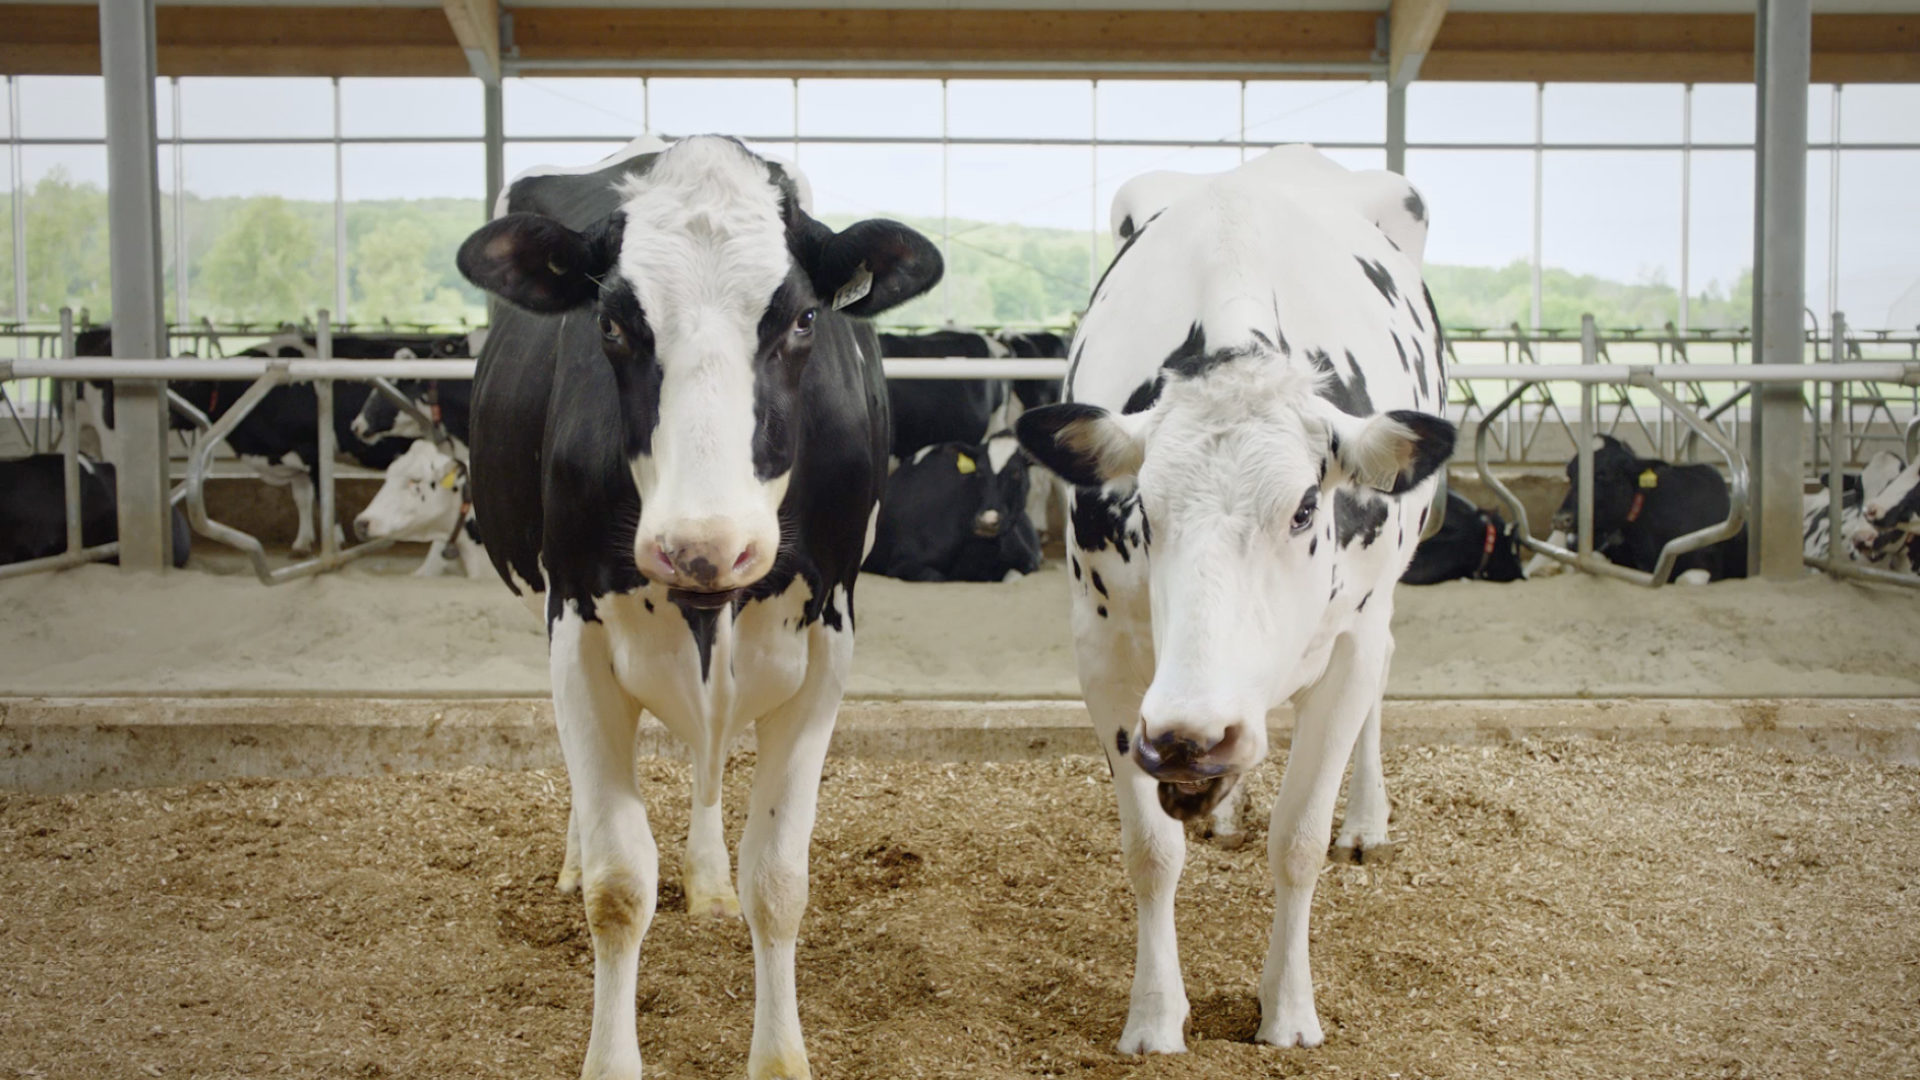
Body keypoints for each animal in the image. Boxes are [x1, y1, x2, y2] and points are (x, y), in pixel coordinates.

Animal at [455, 134, 940, 1080]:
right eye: (612, 322)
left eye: (802, 319)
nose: (703, 545)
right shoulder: (574, 628)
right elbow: (618, 887)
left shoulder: (827, 646)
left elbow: (779, 879)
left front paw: (780, 1058)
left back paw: (709, 877)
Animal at [862, 431, 1043, 582]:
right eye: (979, 472)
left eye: (1017, 473)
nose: (987, 521)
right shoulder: (902, 563)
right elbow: (937, 577)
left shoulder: (1028, 562)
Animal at [1013, 146, 1454, 1054]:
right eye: (1144, 509)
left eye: (1306, 508)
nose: (1192, 739)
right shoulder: (1104, 651)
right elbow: (1150, 850)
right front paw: (1154, 1014)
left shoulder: (1351, 641)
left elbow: (1298, 840)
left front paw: (1288, 1009)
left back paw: (1366, 819)